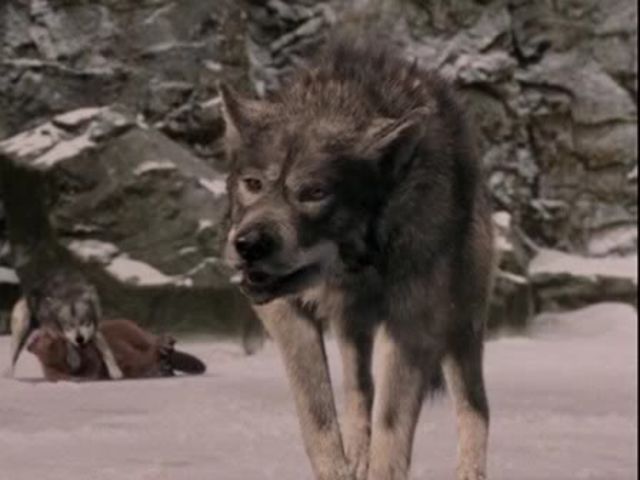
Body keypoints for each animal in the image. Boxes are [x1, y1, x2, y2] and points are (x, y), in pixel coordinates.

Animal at [221, 38, 493, 480]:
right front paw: (341, 465)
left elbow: (392, 426)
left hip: (460, 329)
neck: (353, 269)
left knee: (475, 408)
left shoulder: (410, 325)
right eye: (253, 184)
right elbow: (317, 413)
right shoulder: (288, 315)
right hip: (353, 330)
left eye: (314, 193)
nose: (249, 244)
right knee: (358, 388)